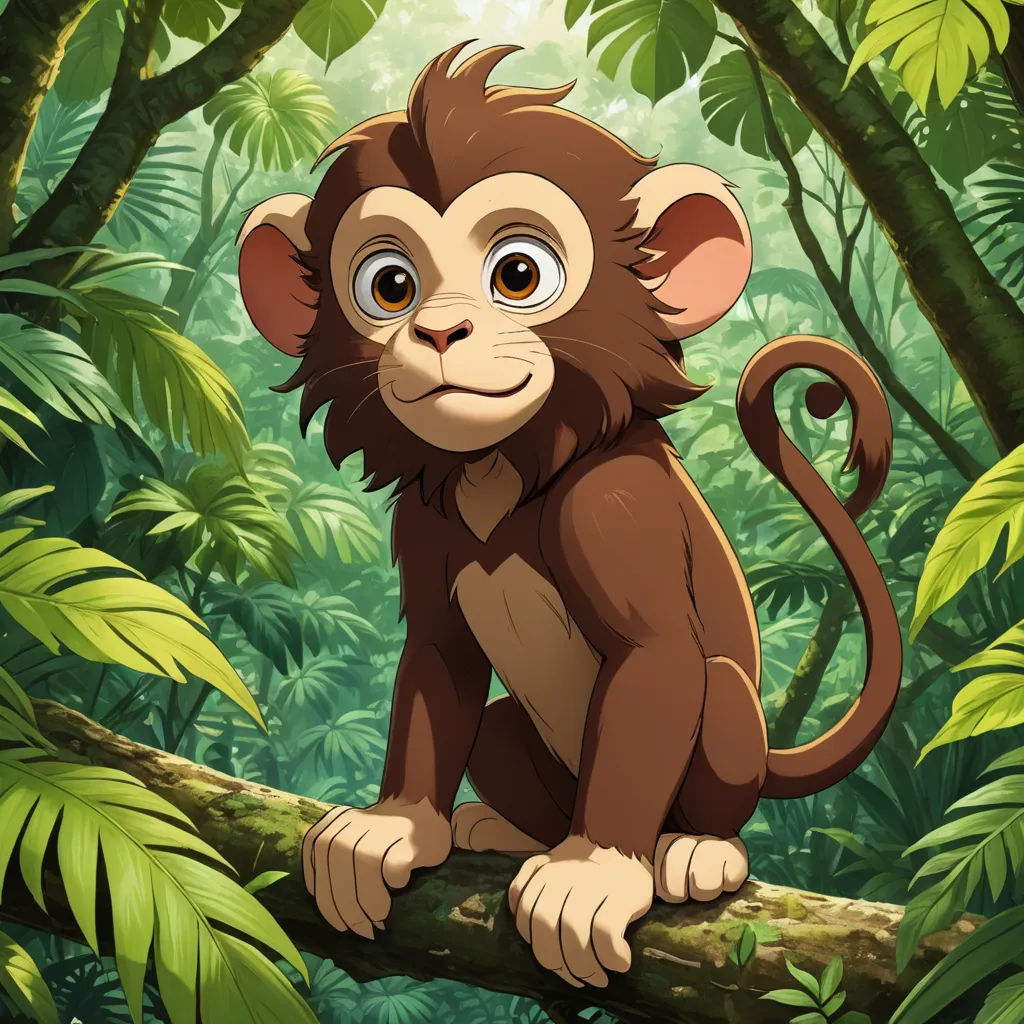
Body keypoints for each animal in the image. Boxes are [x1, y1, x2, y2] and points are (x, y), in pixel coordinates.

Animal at [236, 42, 901, 989]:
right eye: (390, 285)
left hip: (728, 733)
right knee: (495, 727)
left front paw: (591, 877)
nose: (439, 332)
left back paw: (697, 850)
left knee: (713, 698)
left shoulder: (614, 507)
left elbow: (656, 661)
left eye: (518, 274)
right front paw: (394, 826)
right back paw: (508, 829)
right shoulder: (423, 525)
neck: (503, 469)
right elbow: (438, 662)